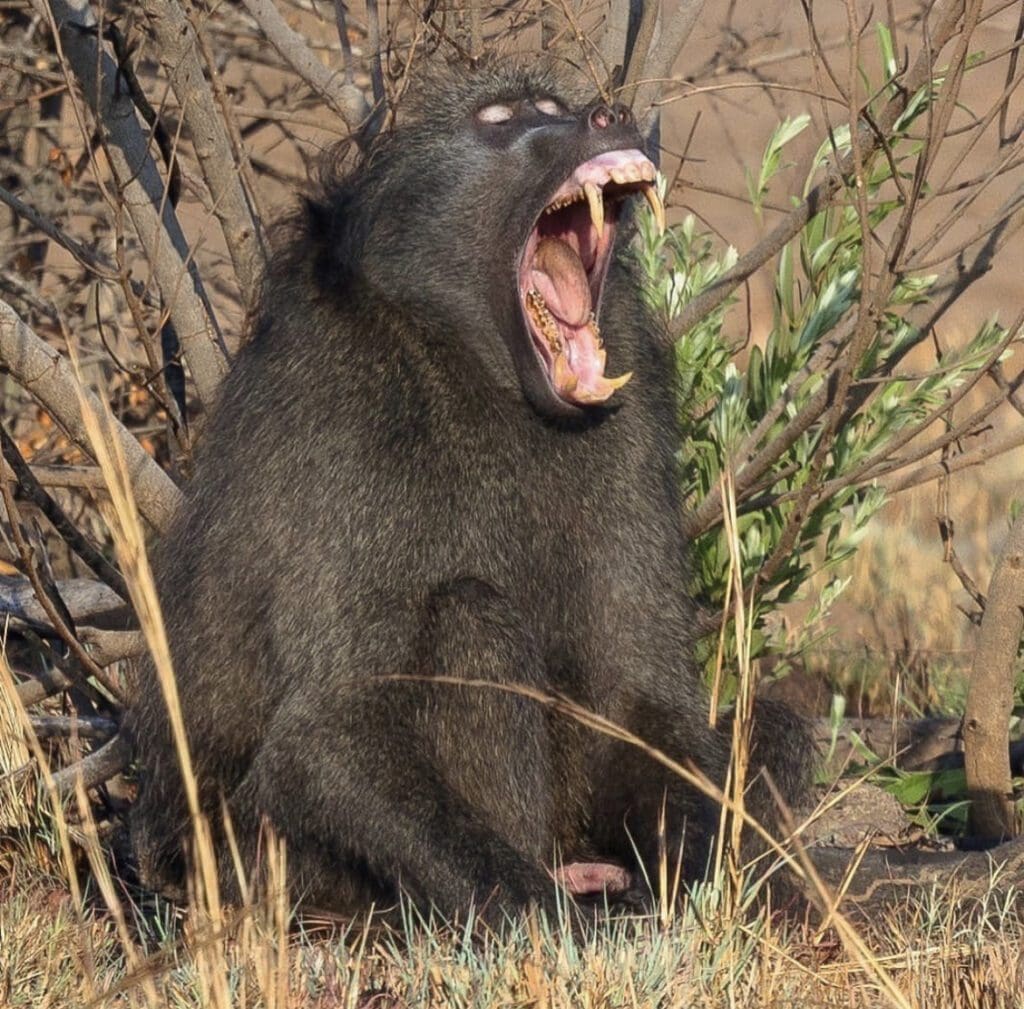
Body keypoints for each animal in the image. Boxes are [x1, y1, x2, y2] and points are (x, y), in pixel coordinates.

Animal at [127, 58, 815, 924]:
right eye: (498, 120)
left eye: (551, 106)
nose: (609, 114)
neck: (466, 354)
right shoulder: (344, 406)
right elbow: (326, 733)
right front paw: (563, 925)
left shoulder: (632, 401)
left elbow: (641, 700)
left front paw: (713, 887)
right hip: (272, 866)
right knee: (468, 616)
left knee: (780, 723)